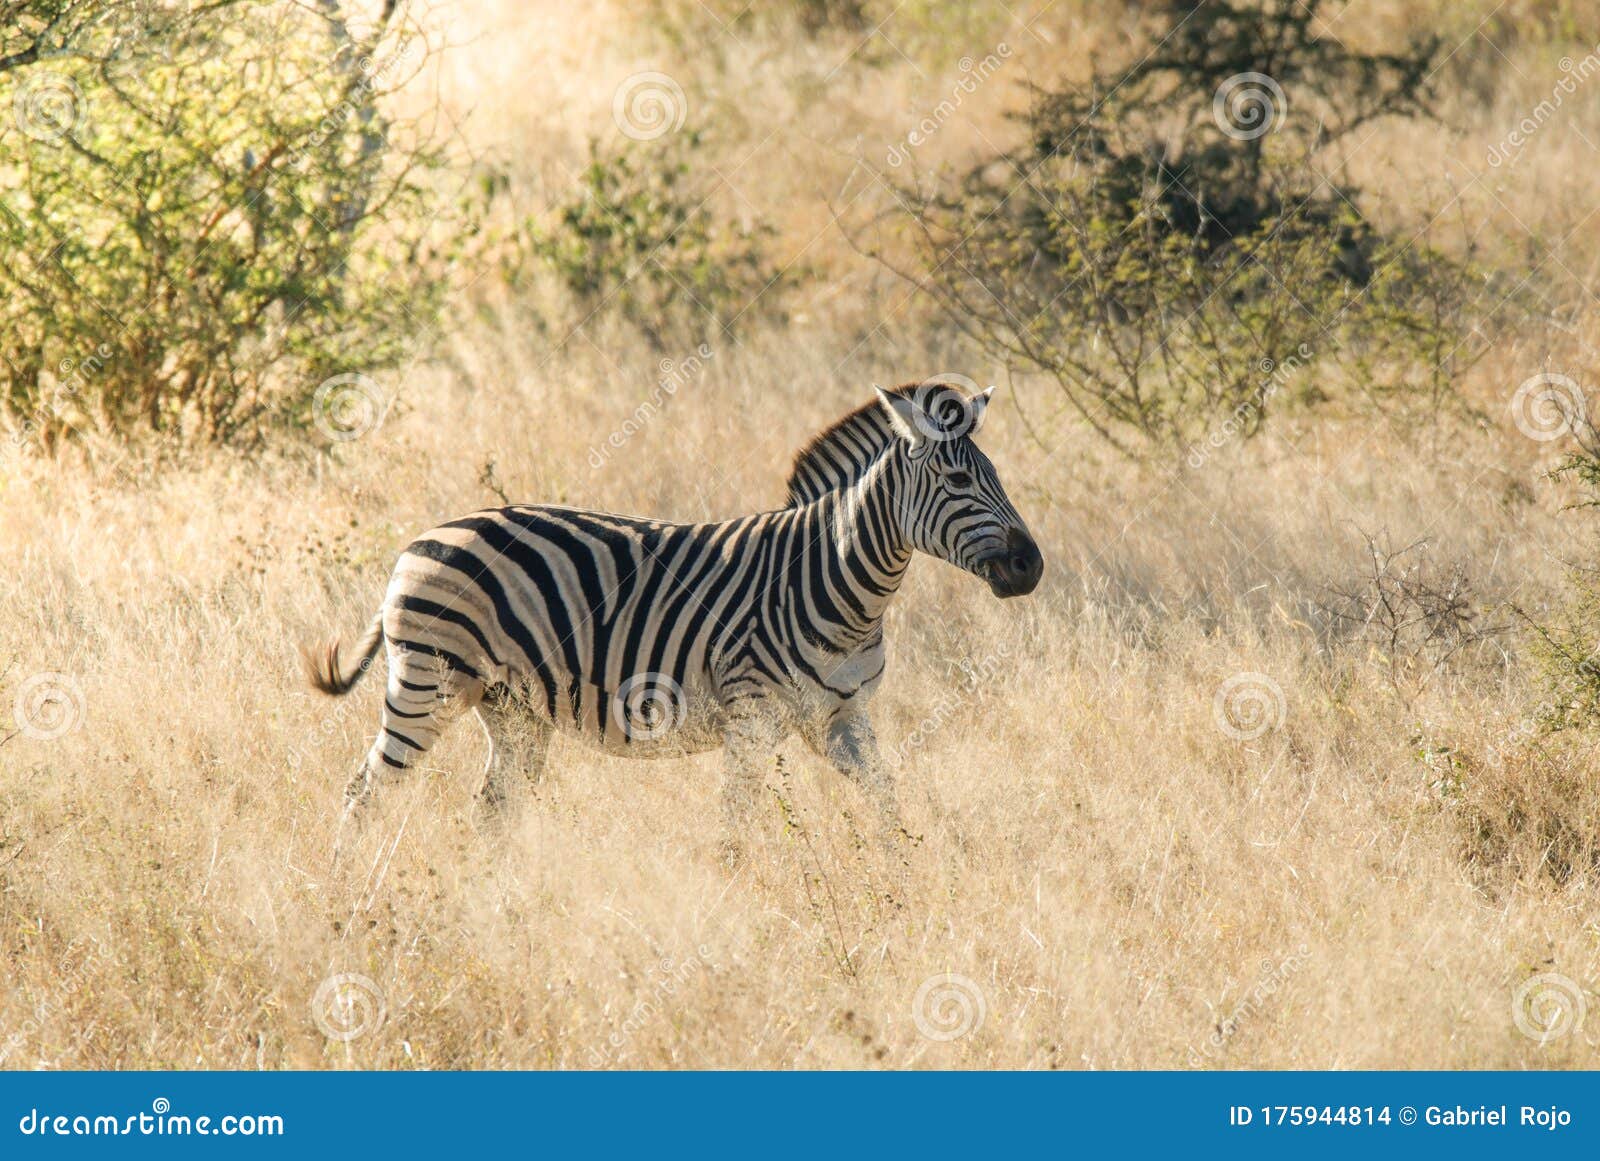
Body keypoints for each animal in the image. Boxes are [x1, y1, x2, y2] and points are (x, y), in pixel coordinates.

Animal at [303, 381, 1043, 846]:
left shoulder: (842, 719)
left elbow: (889, 804)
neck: (841, 587)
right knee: (361, 793)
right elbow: (736, 826)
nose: (1030, 565)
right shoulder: (751, 718)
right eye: (958, 480)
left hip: (513, 709)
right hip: (429, 683)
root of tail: (416, 542)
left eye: (997, 475)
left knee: (490, 811)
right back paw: (348, 895)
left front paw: (905, 888)